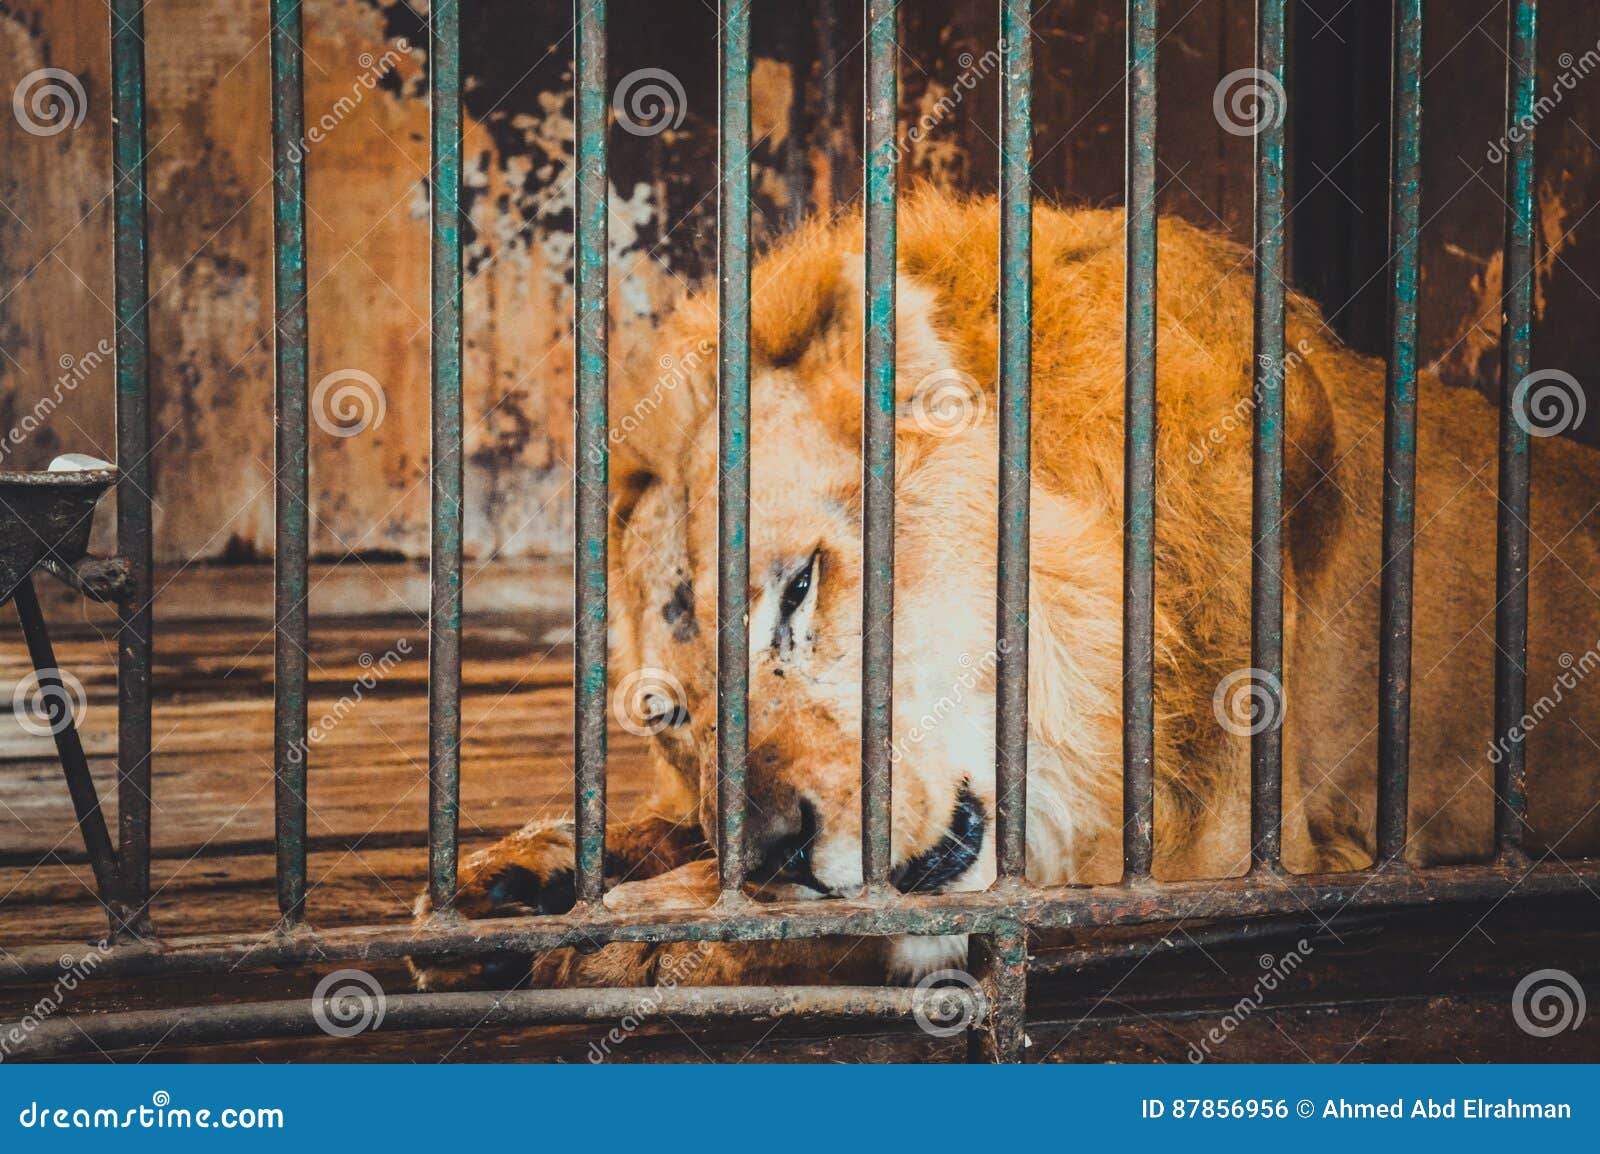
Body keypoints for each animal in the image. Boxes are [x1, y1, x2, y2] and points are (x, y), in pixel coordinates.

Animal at [410, 189, 1600, 992]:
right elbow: (673, 825)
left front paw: (648, 925)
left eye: (797, 588)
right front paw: (524, 873)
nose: (772, 849)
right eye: (668, 714)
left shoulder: (1213, 845)